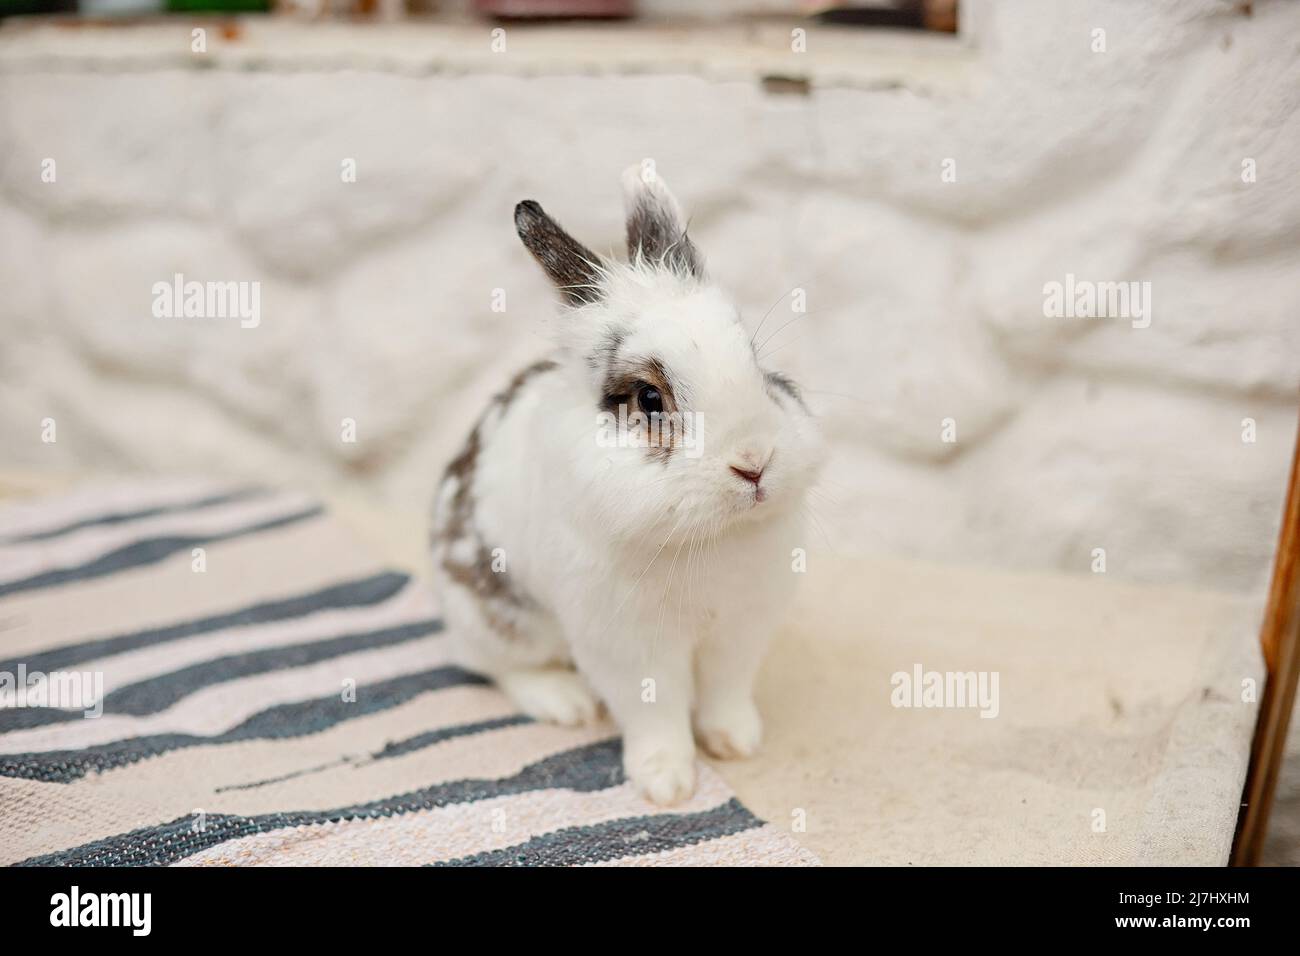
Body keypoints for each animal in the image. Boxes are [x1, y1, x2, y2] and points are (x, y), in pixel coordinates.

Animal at [430, 166, 825, 805]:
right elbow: (655, 714)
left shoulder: (741, 628)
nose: (754, 462)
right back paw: (564, 703)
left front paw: (735, 742)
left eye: (757, 364)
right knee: (491, 663)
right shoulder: (628, 646)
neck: (710, 537)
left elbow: (726, 688)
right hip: (499, 616)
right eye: (647, 398)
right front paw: (666, 784)